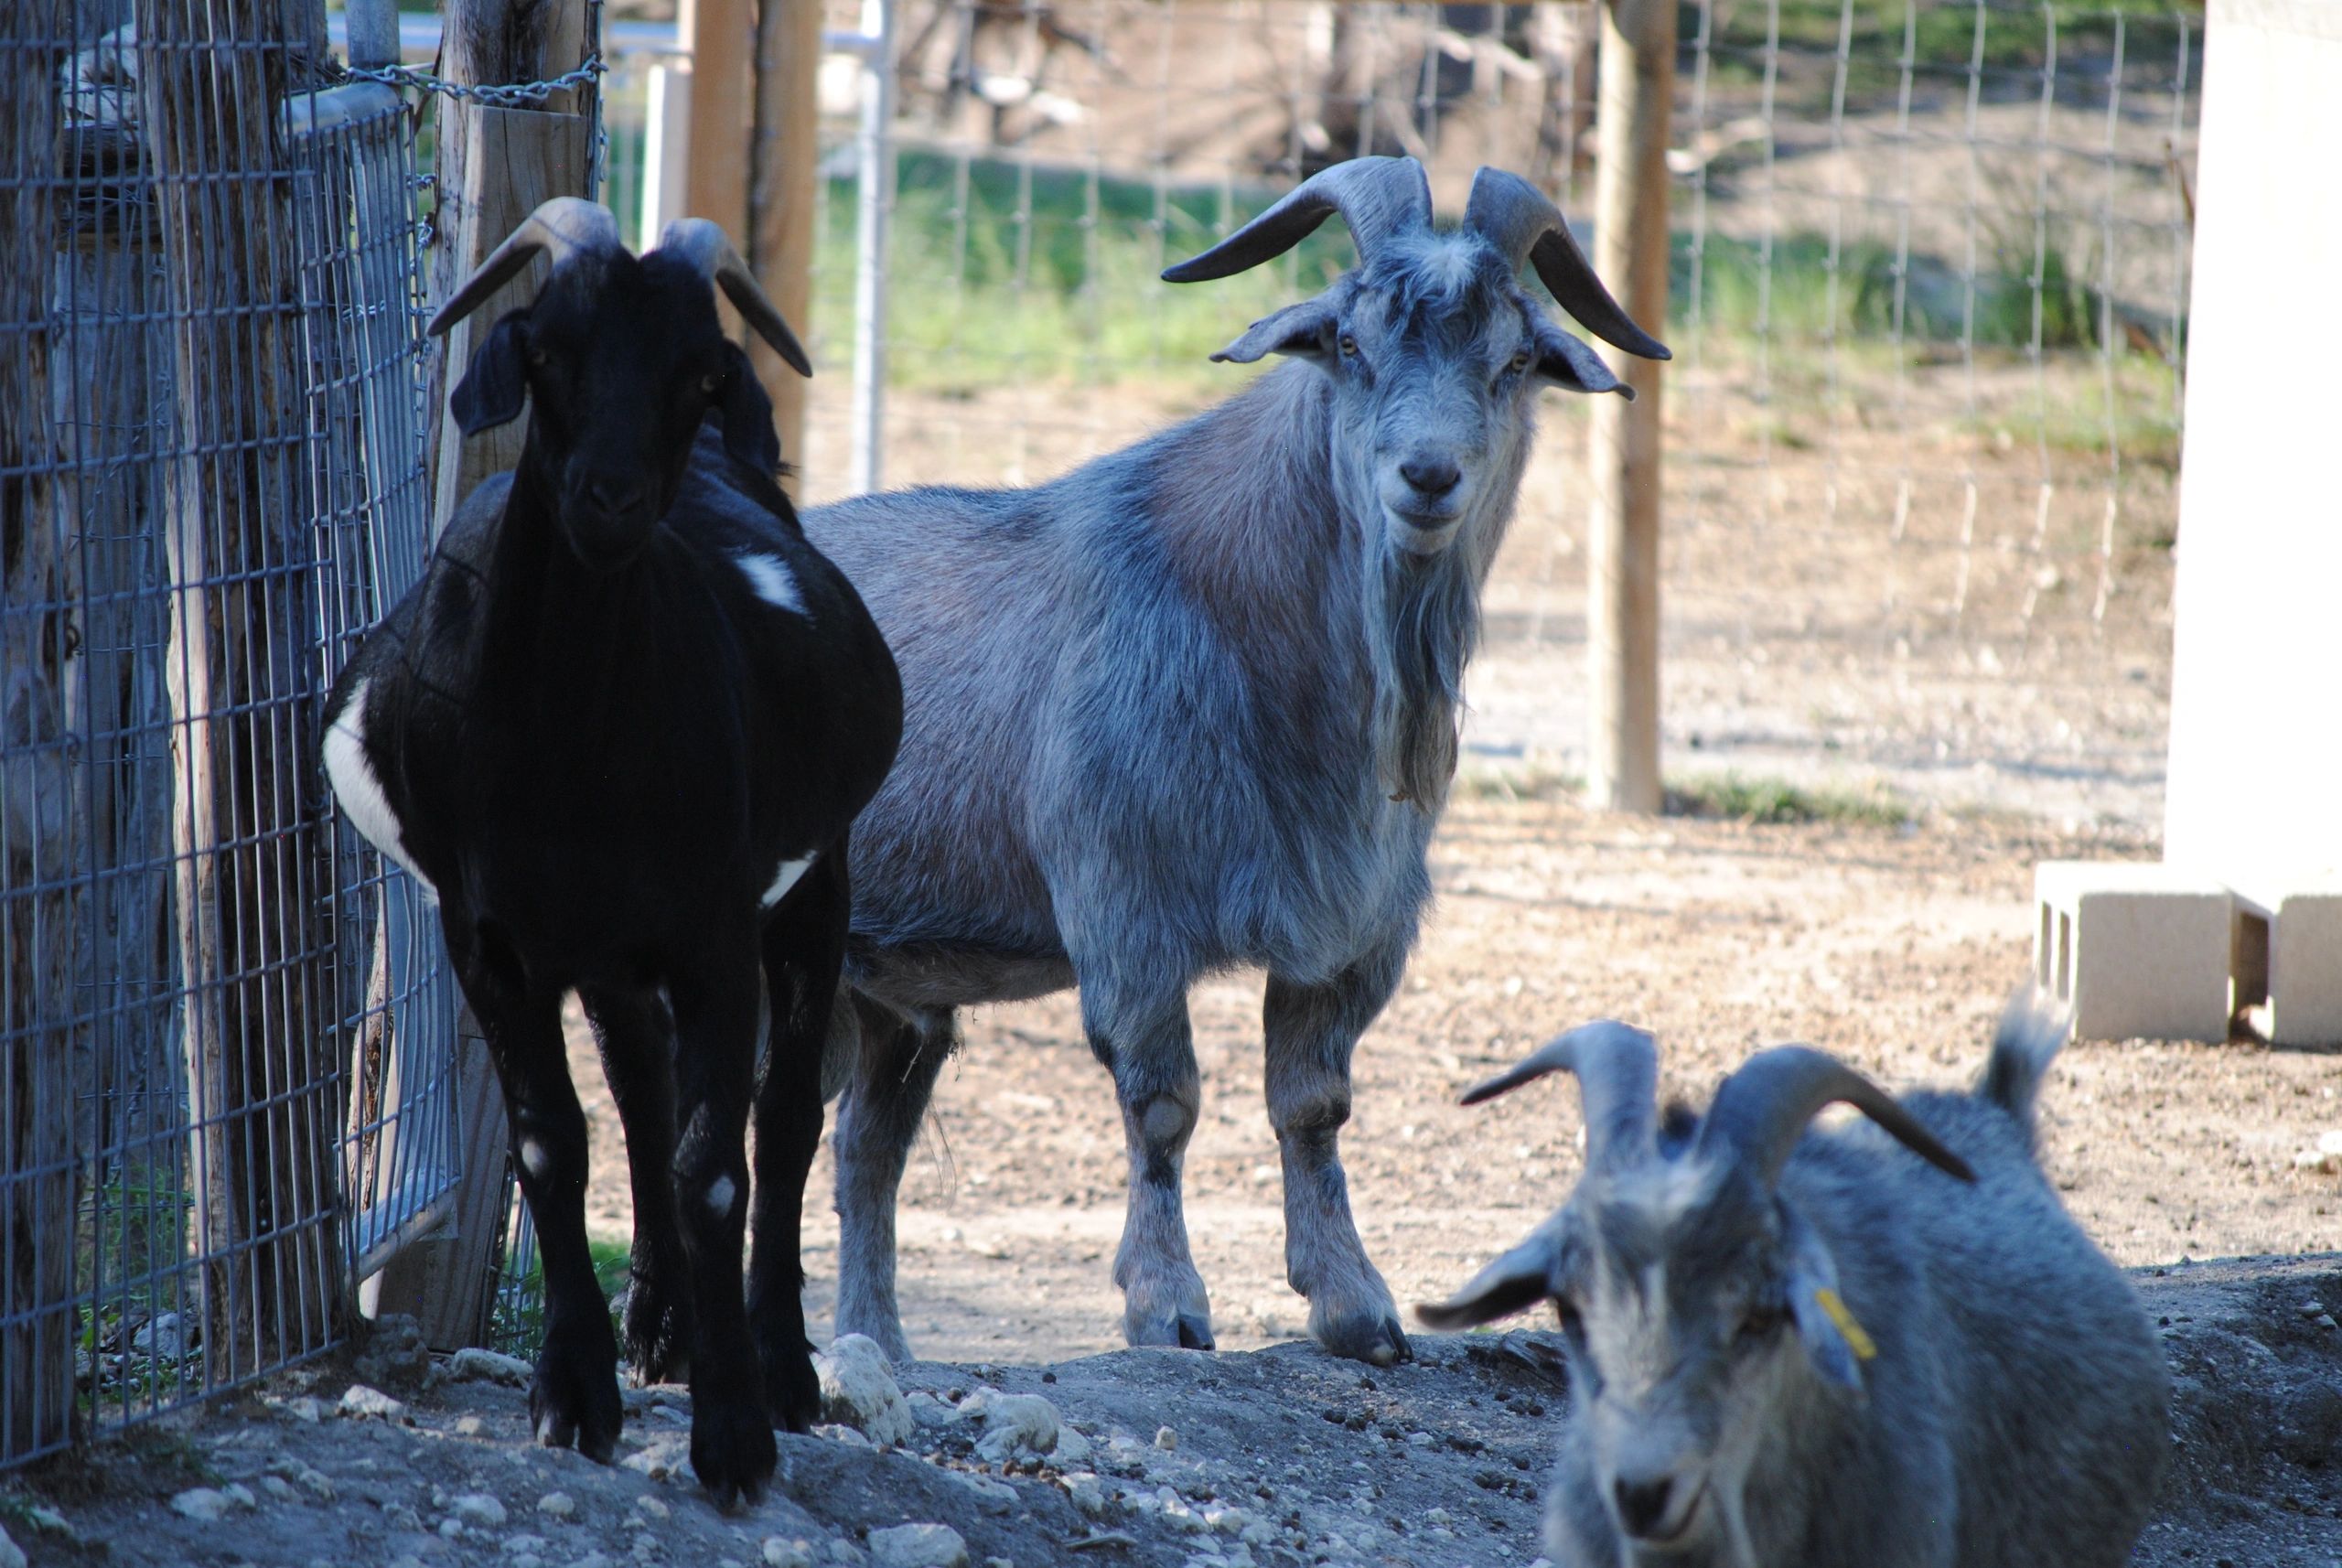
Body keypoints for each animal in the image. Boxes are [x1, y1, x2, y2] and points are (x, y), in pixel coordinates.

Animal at [322, 200, 903, 1508]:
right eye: (547, 351)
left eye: (698, 371)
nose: (610, 497)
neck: (566, 757)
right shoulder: (488, 936)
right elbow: (554, 1140)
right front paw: (573, 1391)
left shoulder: (714, 924)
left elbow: (717, 1159)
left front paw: (736, 1431)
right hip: (606, 954)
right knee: (640, 1090)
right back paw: (659, 1328)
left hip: (815, 883)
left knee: (784, 1113)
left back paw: (779, 1361)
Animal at [799, 156, 1668, 1367]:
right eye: (1349, 342)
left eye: (1509, 362)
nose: (1427, 476)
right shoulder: (1126, 910)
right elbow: (1162, 1102)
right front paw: (1166, 1306)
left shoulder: (1348, 936)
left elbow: (1311, 1104)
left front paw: (1355, 1304)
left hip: (896, 996)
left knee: (860, 1154)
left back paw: (877, 1348)